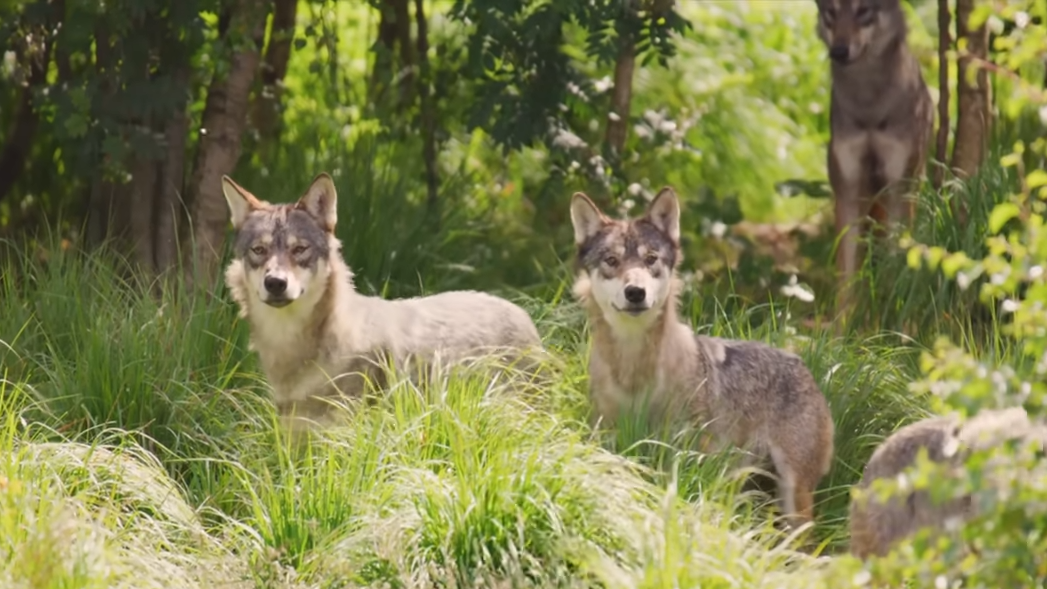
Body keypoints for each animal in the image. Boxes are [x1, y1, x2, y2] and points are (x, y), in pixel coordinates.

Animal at [569, 188, 835, 529]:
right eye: (611, 261)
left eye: (651, 259)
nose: (636, 292)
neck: (635, 371)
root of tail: (804, 367)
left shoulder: (689, 457)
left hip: (792, 495)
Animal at [814, 0, 934, 324]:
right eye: (831, 12)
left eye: (863, 10)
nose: (839, 51)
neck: (868, 105)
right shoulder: (847, 191)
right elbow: (846, 278)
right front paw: (842, 330)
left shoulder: (897, 191)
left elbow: (894, 268)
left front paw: (892, 324)